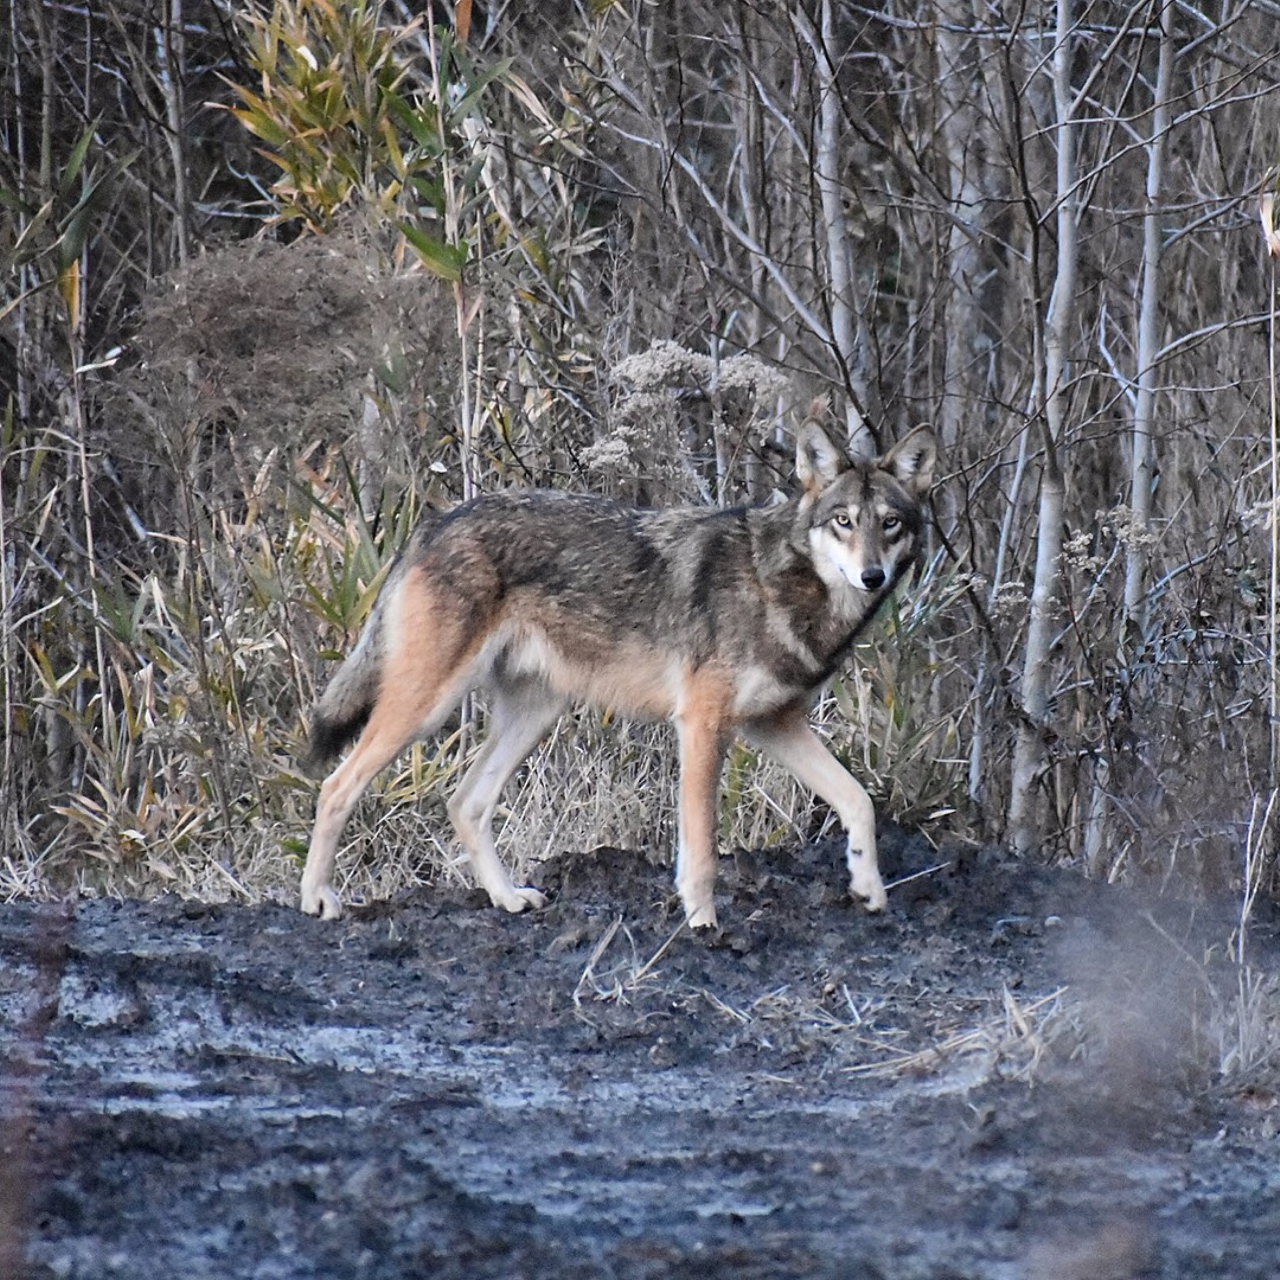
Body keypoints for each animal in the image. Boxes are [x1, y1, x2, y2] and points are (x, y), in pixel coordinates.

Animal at [300, 410, 936, 929]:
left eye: (890, 523)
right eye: (844, 522)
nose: (873, 576)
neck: (780, 584)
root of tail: (437, 521)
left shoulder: (772, 725)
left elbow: (859, 801)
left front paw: (869, 887)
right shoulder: (703, 725)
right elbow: (702, 847)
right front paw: (702, 922)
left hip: (534, 714)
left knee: (465, 803)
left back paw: (507, 899)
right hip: (427, 709)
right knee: (336, 786)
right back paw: (317, 899)